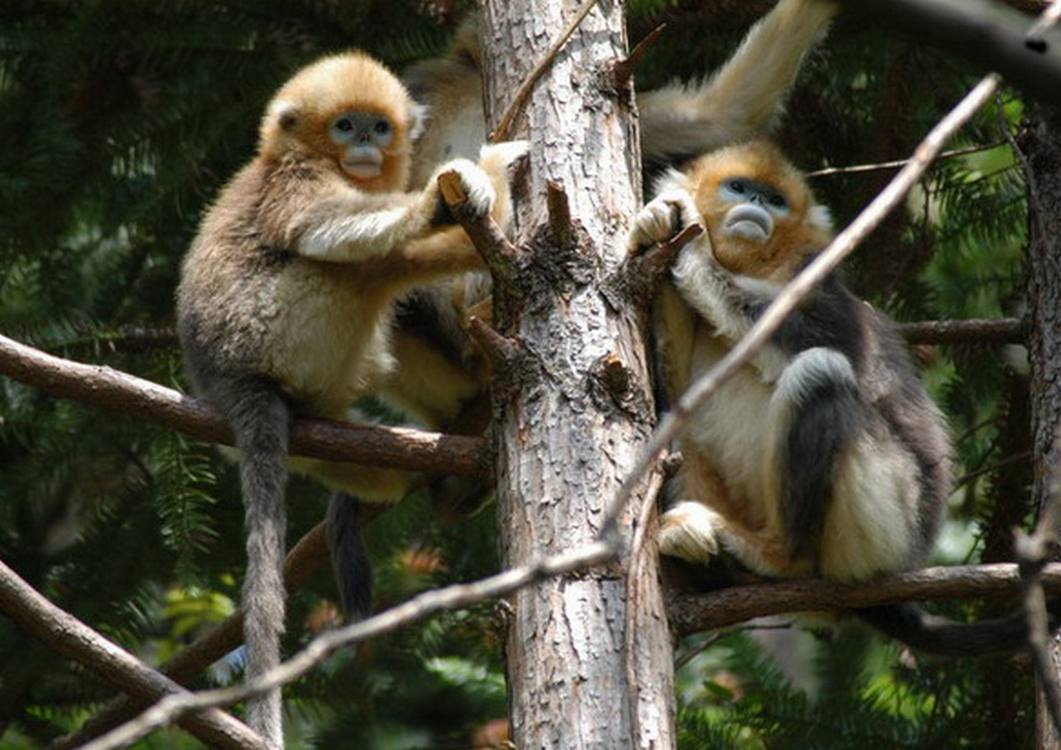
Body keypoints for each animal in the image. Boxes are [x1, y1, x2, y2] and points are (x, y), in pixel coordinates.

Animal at [175, 51, 526, 748]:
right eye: (344, 126)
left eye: (378, 127)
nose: (364, 144)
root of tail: (224, 380)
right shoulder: (298, 184)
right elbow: (326, 228)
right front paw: (456, 190)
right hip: (277, 324)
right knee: (369, 265)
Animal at [628, 139, 1055, 656]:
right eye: (739, 187)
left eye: (776, 200)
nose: (756, 204)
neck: (755, 264)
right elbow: (669, 385)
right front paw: (653, 227)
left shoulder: (818, 280)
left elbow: (813, 334)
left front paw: (691, 239)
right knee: (677, 425)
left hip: (886, 517)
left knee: (820, 371)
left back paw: (773, 558)